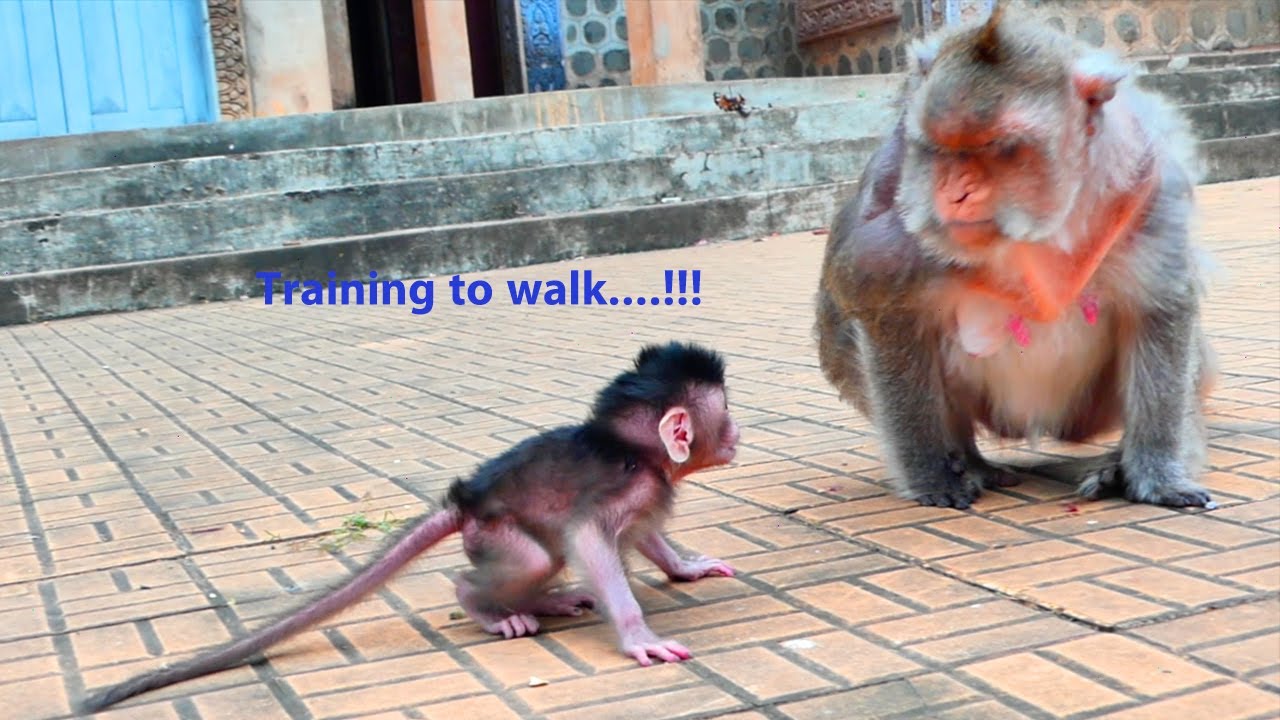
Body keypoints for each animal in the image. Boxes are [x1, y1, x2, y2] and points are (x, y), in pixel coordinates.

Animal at [77, 341, 741, 714]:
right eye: (726, 415)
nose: (736, 434)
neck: (637, 450)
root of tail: (466, 502)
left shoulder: (646, 491)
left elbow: (639, 536)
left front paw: (684, 567)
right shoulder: (629, 484)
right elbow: (591, 539)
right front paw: (636, 636)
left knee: (544, 559)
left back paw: (543, 602)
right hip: (492, 533)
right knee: (528, 560)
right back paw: (486, 606)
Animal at [813, 1, 1217, 511]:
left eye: (999, 148)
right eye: (938, 149)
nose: (955, 192)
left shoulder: (1148, 182)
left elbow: (1160, 308)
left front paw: (1158, 475)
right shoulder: (892, 169)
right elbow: (869, 281)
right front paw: (929, 473)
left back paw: (1114, 467)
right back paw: (968, 461)